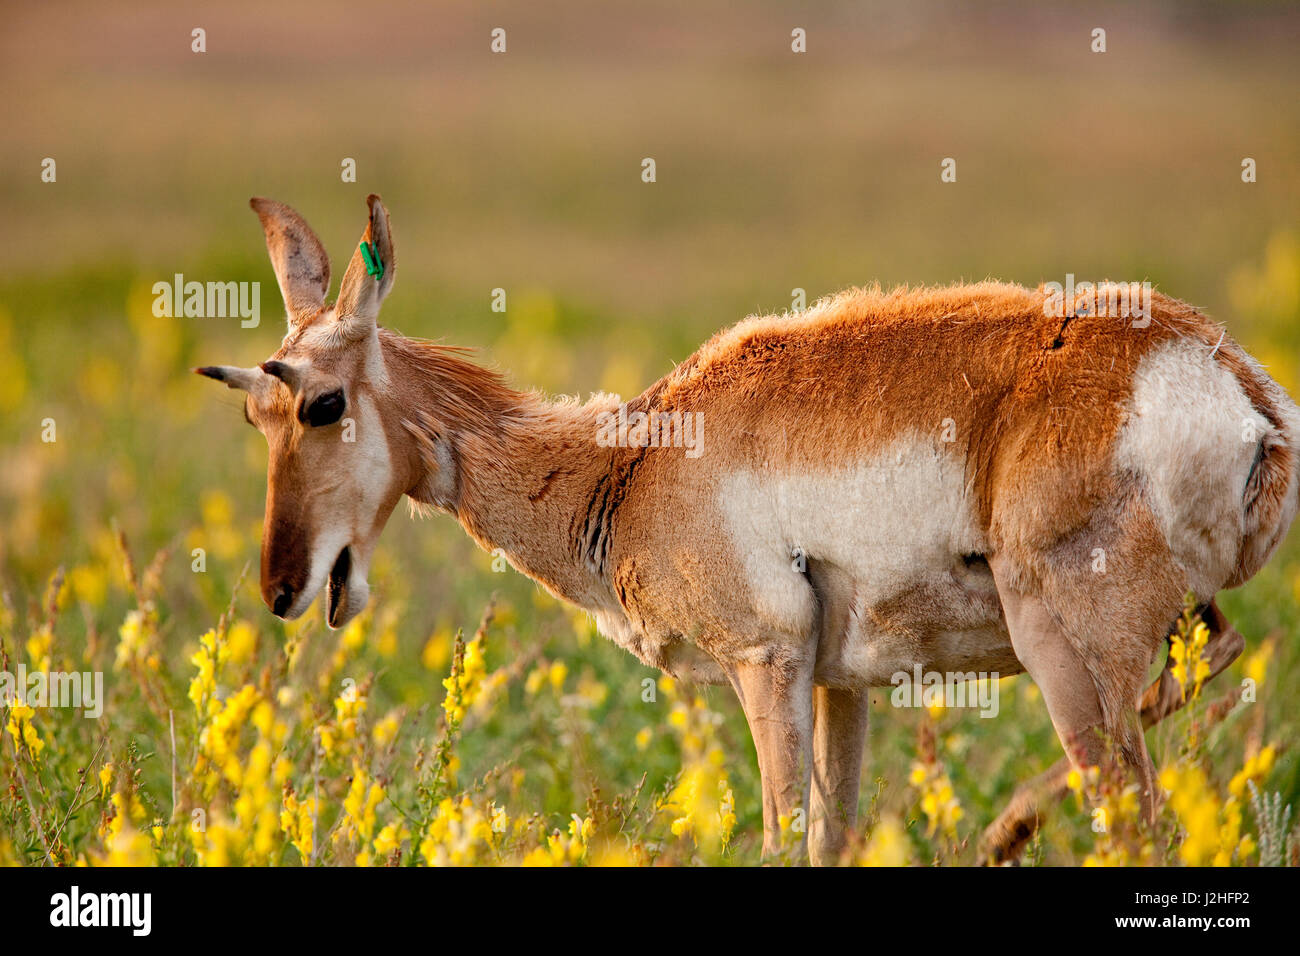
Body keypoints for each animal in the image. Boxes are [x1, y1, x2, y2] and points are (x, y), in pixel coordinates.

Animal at [196, 195, 1300, 865]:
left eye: (323, 403)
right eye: (253, 413)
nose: (282, 588)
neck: (632, 459)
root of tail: (1229, 375)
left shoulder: (766, 663)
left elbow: (780, 836)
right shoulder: (841, 687)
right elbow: (831, 836)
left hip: (1060, 647)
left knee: (1135, 809)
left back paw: (1005, 830)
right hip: (1163, 630)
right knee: (1205, 672)